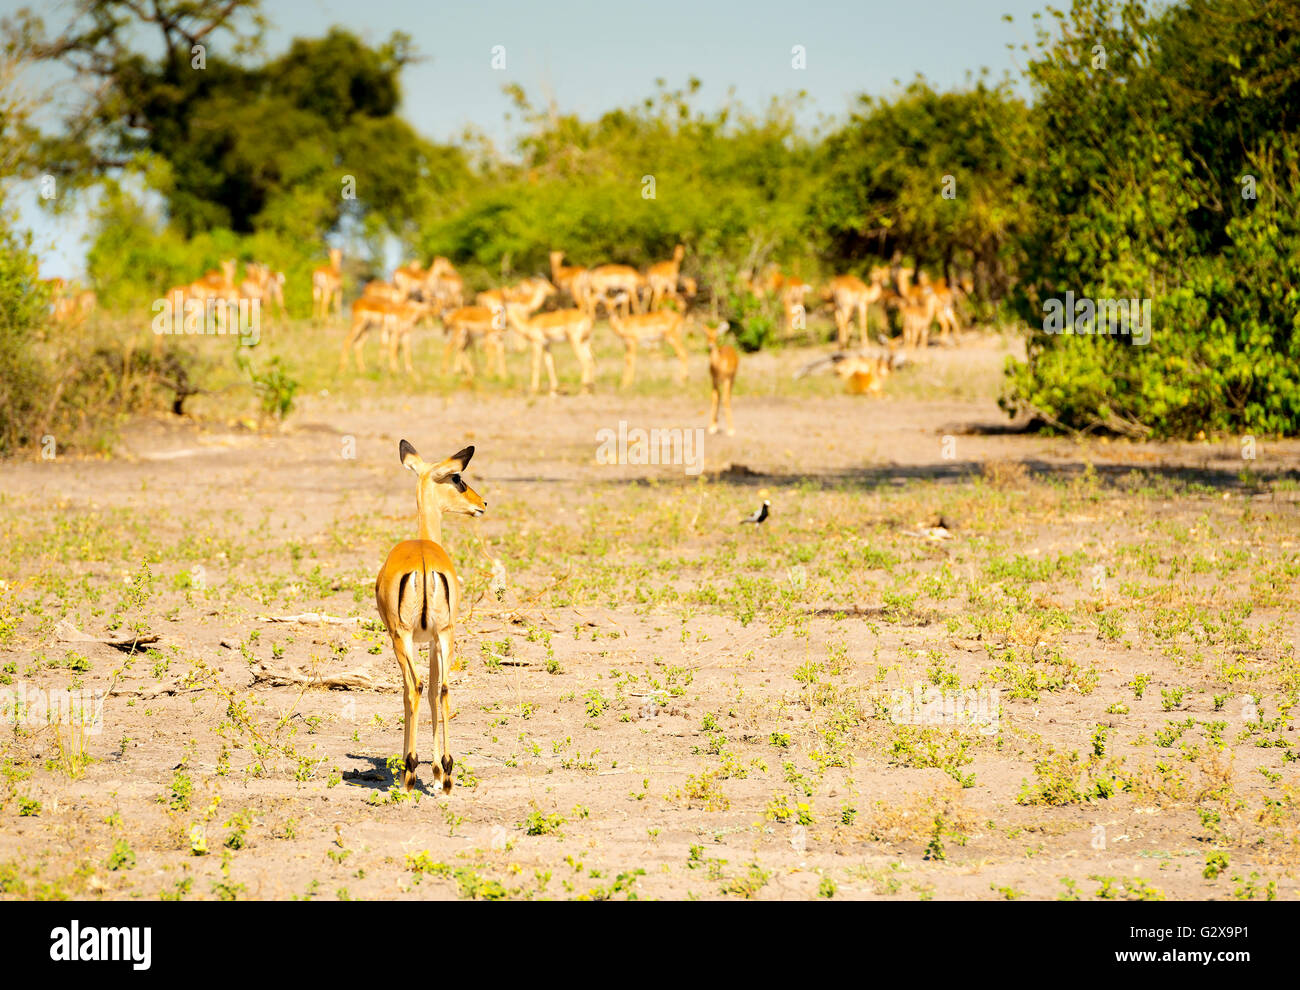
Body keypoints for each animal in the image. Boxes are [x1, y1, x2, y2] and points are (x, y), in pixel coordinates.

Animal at [376, 439, 486, 793]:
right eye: (457, 479)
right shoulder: (436, 638)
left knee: (416, 687)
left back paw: (410, 775)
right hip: (445, 635)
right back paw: (447, 774)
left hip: (404, 637)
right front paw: (438, 773)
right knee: (443, 689)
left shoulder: (404, 638)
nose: (482, 503)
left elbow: (408, 691)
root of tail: (424, 561)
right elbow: (437, 690)